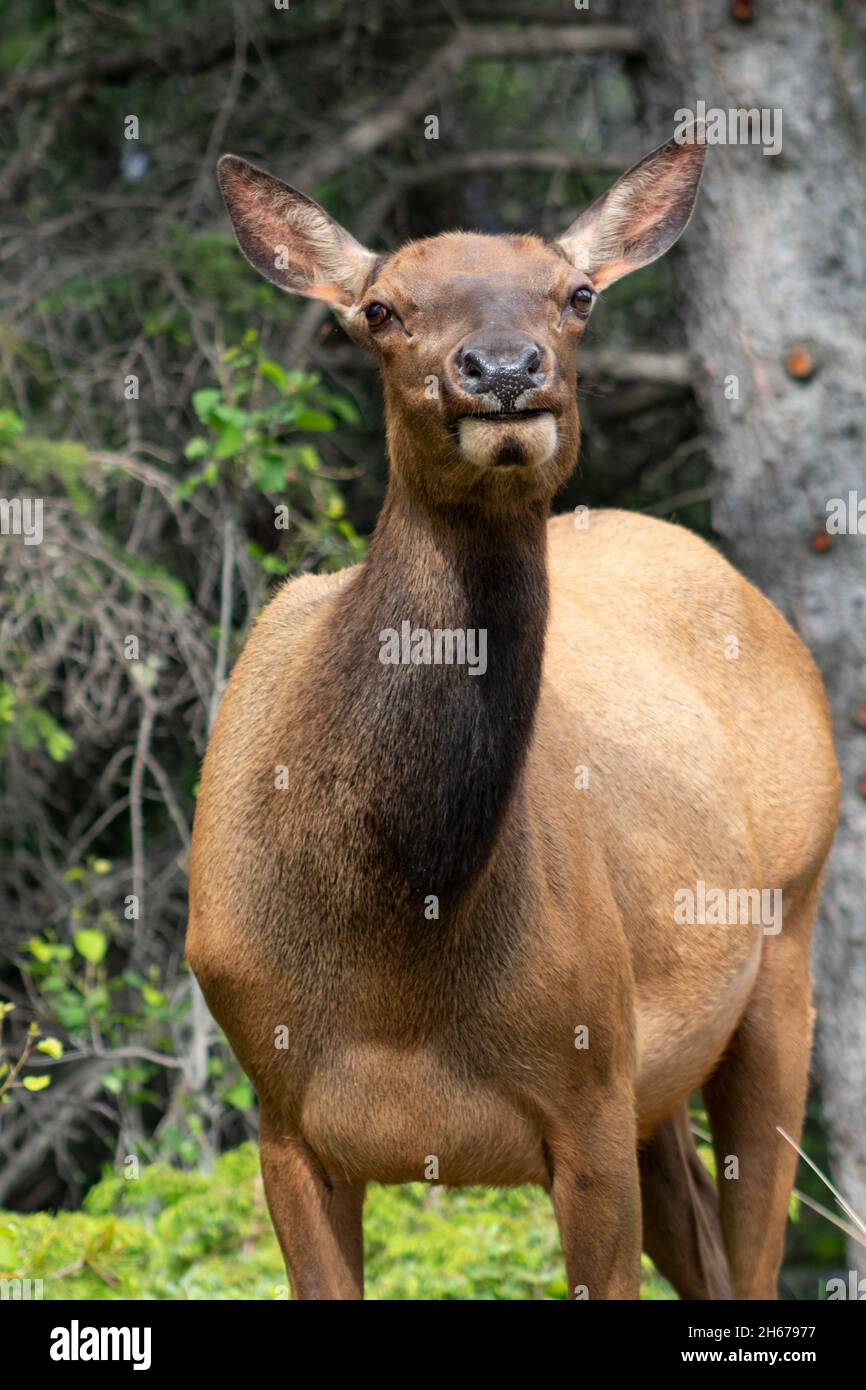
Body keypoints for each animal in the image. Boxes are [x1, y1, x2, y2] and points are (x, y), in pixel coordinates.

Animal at [186, 128, 839, 1301]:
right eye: (381, 308)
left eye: (575, 294)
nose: (500, 370)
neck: (396, 940)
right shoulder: (281, 1118)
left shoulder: (587, 1090)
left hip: (783, 948)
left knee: (753, 1254)